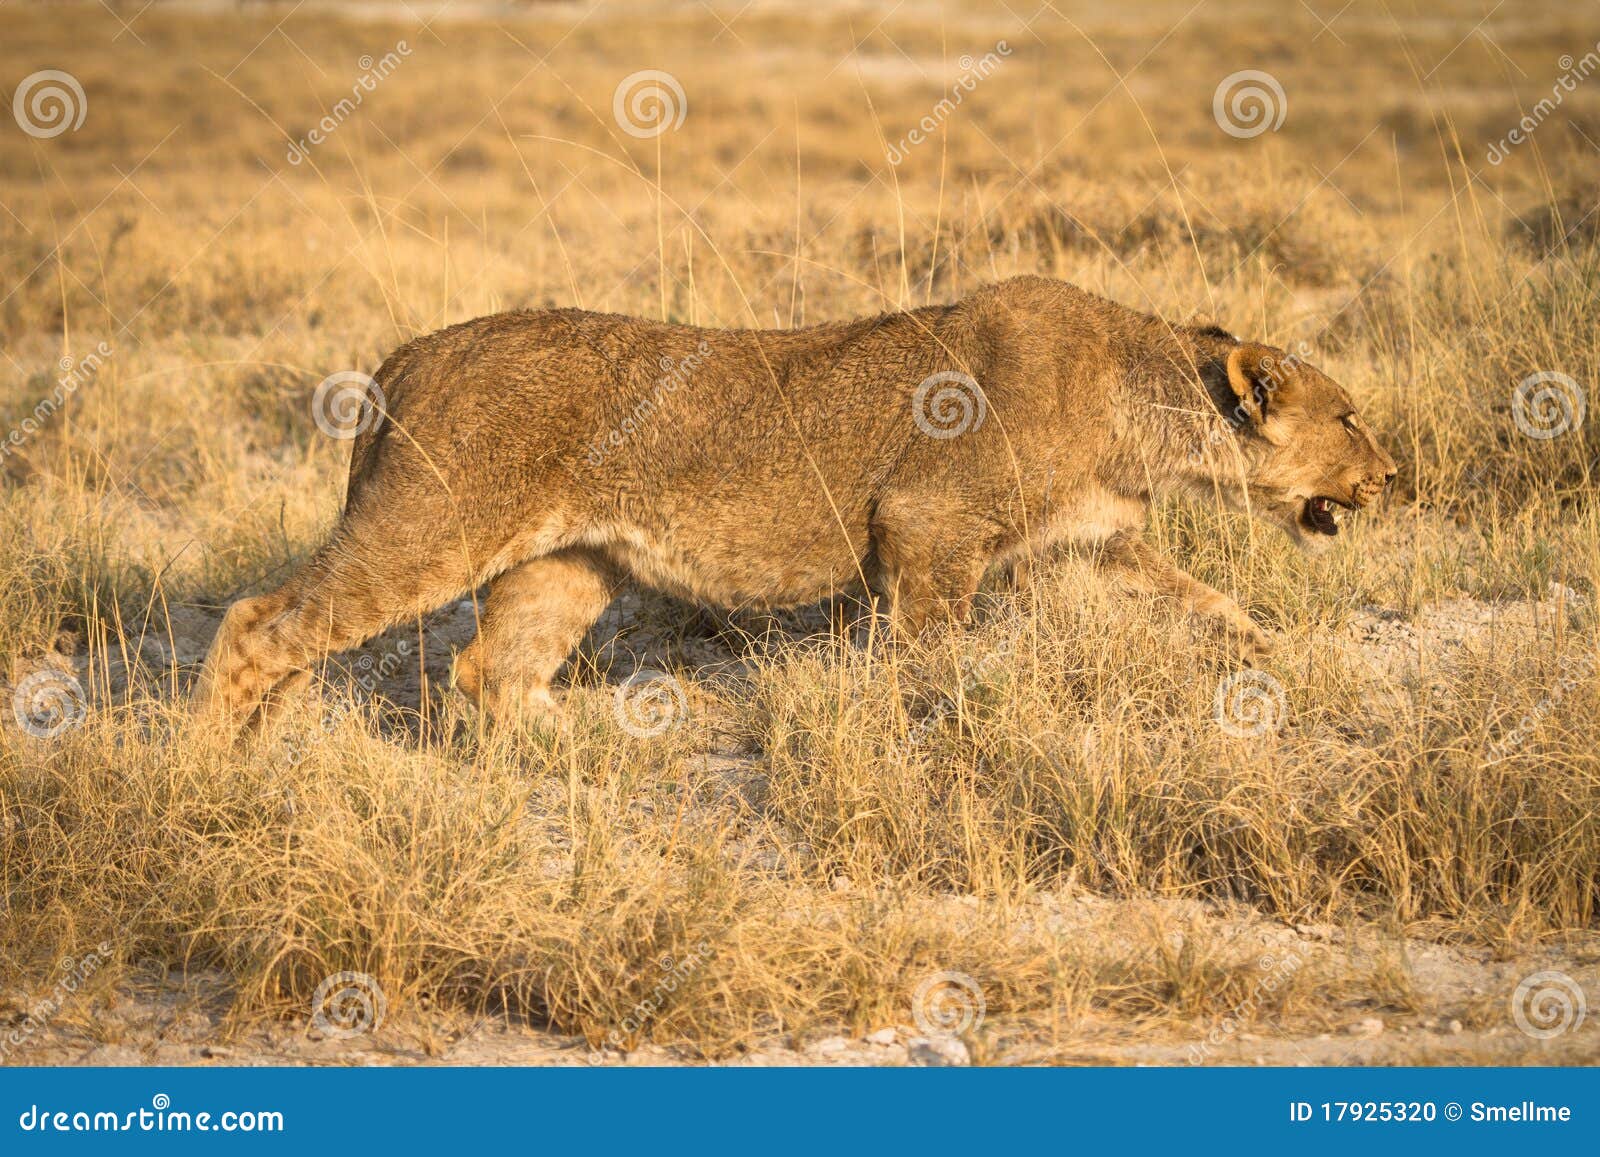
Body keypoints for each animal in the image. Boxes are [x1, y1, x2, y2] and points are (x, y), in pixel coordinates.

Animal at [195, 275, 1396, 733]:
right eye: (1348, 418)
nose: (1389, 478)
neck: (1142, 405)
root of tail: (411, 351)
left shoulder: (1089, 545)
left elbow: (1206, 602)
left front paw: (1279, 654)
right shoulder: (926, 524)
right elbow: (935, 648)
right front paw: (943, 716)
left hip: (568, 564)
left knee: (494, 670)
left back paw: (595, 742)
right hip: (426, 533)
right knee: (260, 623)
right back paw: (215, 770)